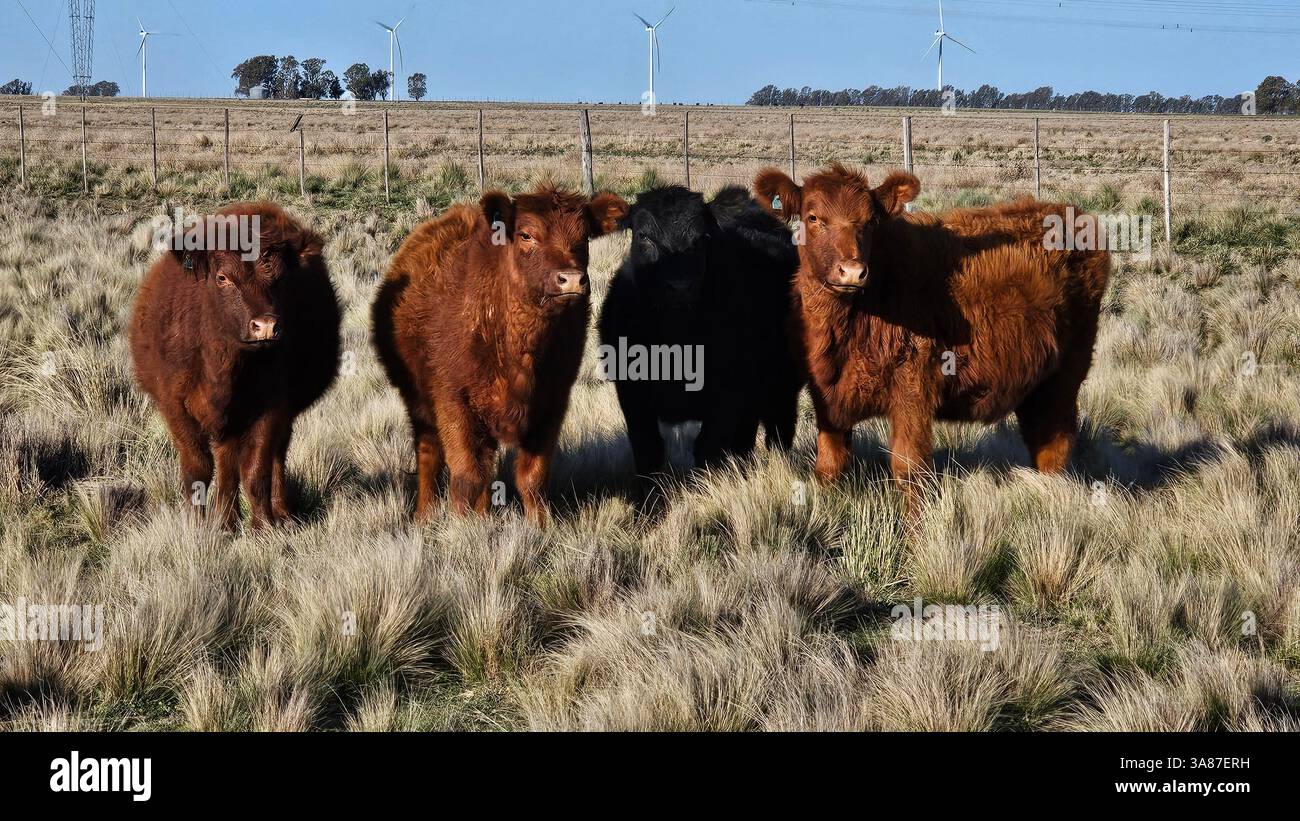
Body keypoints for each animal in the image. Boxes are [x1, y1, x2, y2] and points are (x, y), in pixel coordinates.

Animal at [129, 202, 341, 529]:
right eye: (223, 278)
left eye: (280, 278)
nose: (266, 327)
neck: (223, 366)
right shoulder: (176, 407)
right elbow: (198, 469)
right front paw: (196, 525)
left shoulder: (272, 407)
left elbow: (256, 469)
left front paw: (263, 527)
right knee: (227, 464)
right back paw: (225, 522)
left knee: (271, 456)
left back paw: (280, 513)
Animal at [372, 185, 628, 526]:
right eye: (526, 235)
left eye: (584, 235)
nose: (571, 279)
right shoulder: (454, 403)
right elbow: (467, 477)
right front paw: (464, 530)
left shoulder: (551, 404)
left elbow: (532, 477)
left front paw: (540, 527)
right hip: (420, 404)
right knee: (429, 455)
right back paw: (424, 515)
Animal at [598, 185, 802, 490]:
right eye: (644, 236)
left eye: (702, 238)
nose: (680, 286)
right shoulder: (632, 394)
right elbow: (648, 450)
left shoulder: (727, 394)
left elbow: (708, 448)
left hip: (782, 387)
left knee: (777, 432)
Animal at [753, 163, 1110, 519]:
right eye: (813, 217)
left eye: (871, 221)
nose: (853, 271)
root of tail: (1072, 214)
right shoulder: (827, 397)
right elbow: (829, 464)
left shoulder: (914, 390)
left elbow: (910, 469)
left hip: (1065, 377)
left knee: (1054, 446)